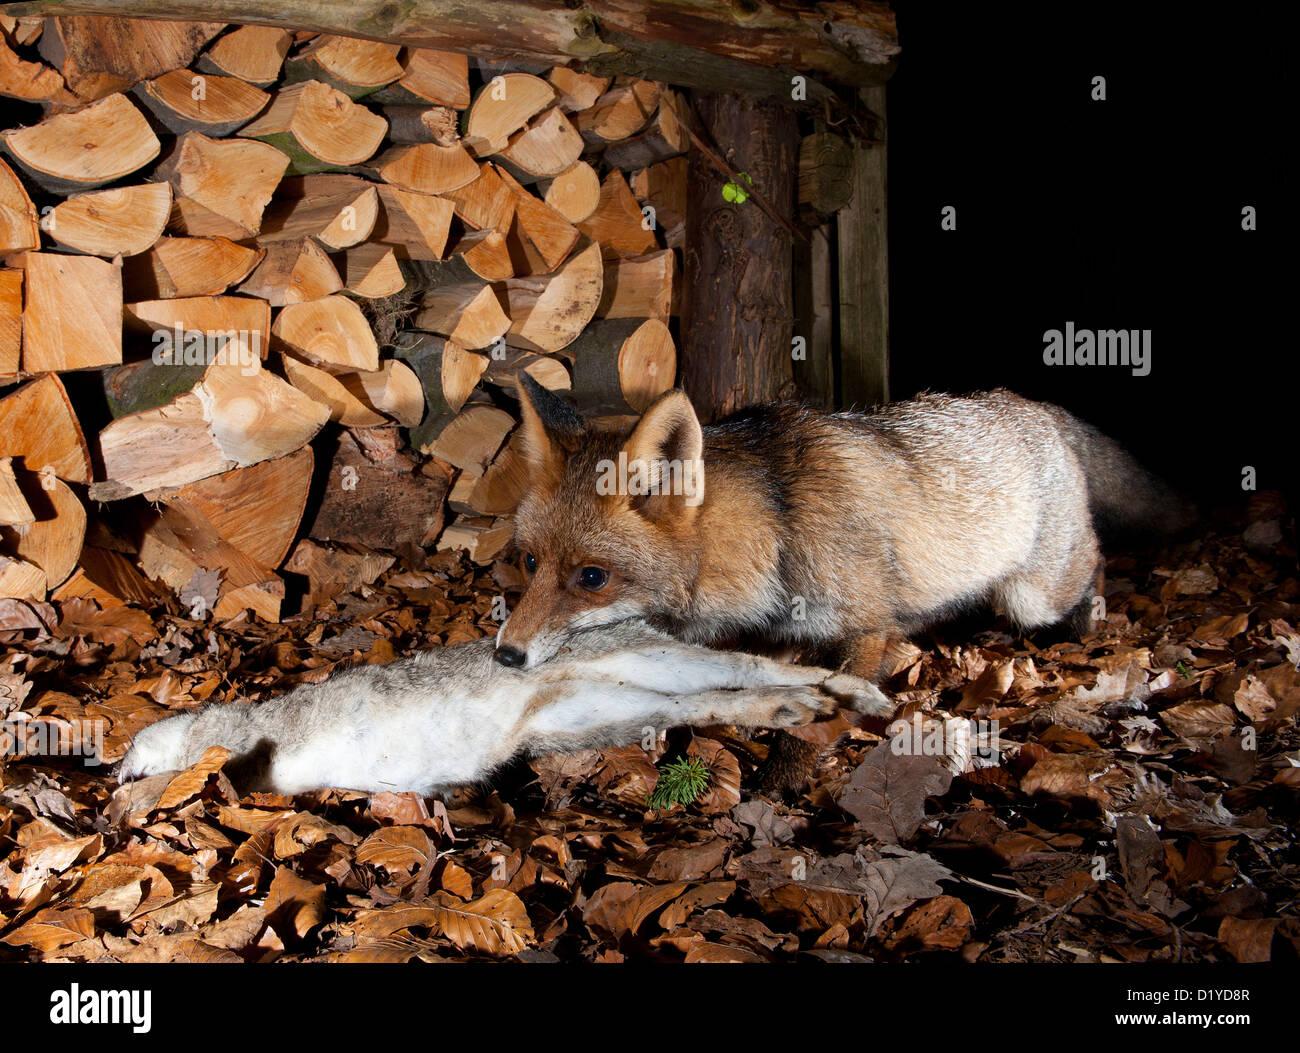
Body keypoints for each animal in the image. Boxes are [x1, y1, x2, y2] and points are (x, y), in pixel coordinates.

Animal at [498, 379, 1193, 783]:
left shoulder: (865, 631)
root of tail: (1033, 407)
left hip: (1035, 595)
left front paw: (776, 794)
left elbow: (809, 732)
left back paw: (1089, 622)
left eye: (592, 577)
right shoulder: (772, 638)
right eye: (529, 563)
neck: (778, 537)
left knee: (1095, 560)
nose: (506, 655)